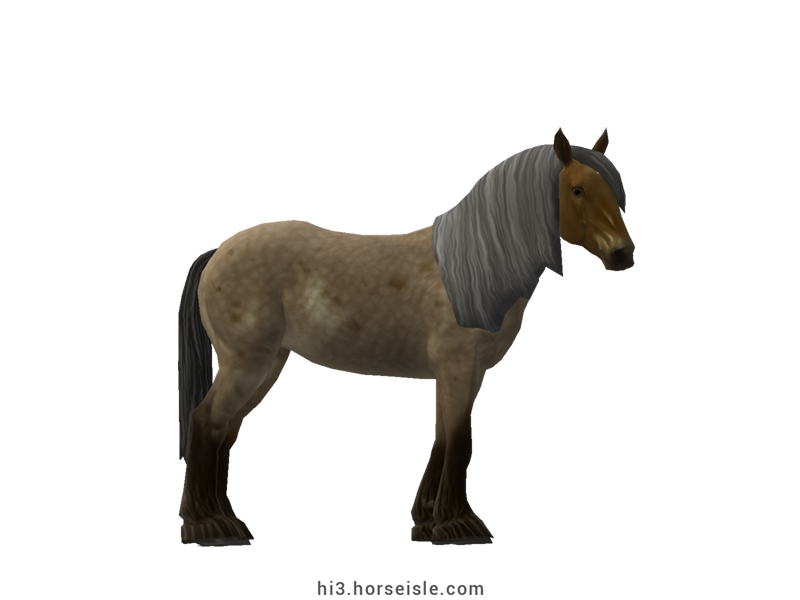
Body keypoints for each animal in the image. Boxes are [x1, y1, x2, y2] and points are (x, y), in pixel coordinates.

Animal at [178, 132, 634, 542]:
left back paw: (224, 516)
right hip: (245, 363)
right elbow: (461, 440)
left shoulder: (463, 372)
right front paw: (458, 522)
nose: (623, 251)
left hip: (260, 366)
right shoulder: (456, 365)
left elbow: (443, 438)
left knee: (223, 430)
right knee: (205, 420)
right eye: (577, 189)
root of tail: (218, 253)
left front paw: (431, 518)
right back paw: (208, 523)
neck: (471, 271)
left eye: (612, 188)